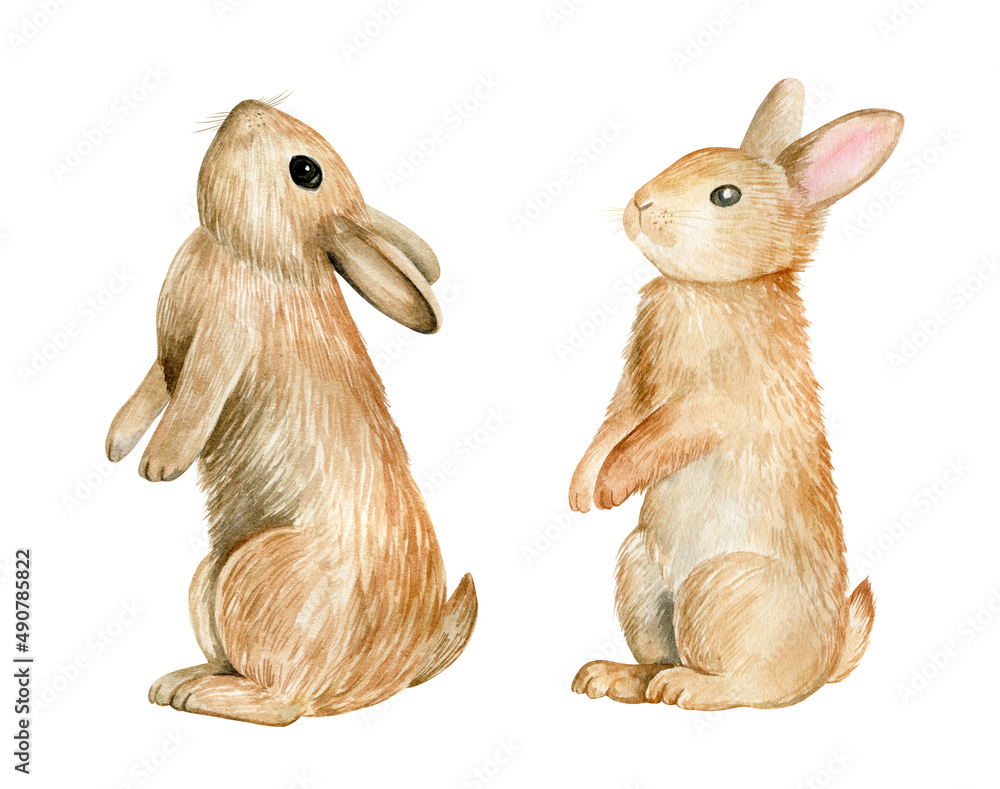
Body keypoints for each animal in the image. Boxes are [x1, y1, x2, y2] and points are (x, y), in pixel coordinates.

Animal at [105, 97, 477, 726]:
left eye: (305, 171)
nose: (244, 107)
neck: (261, 256)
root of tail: (395, 674)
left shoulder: (222, 341)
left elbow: (195, 399)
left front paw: (157, 466)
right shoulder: (166, 359)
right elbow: (150, 390)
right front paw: (115, 445)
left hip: (257, 573)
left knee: (286, 704)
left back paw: (197, 696)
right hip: (208, 581)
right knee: (237, 665)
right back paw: (174, 683)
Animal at [568, 79, 902, 709]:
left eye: (726, 195)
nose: (639, 203)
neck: (711, 289)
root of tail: (825, 664)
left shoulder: (709, 408)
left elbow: (656, 437)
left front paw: (609, 487)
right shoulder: (634, 391)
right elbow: (613, 425)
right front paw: (581, 493)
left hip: (720, 587)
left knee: (748, 686)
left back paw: (687, 690)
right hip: (640, 573)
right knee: (659, 656)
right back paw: (609, 677)